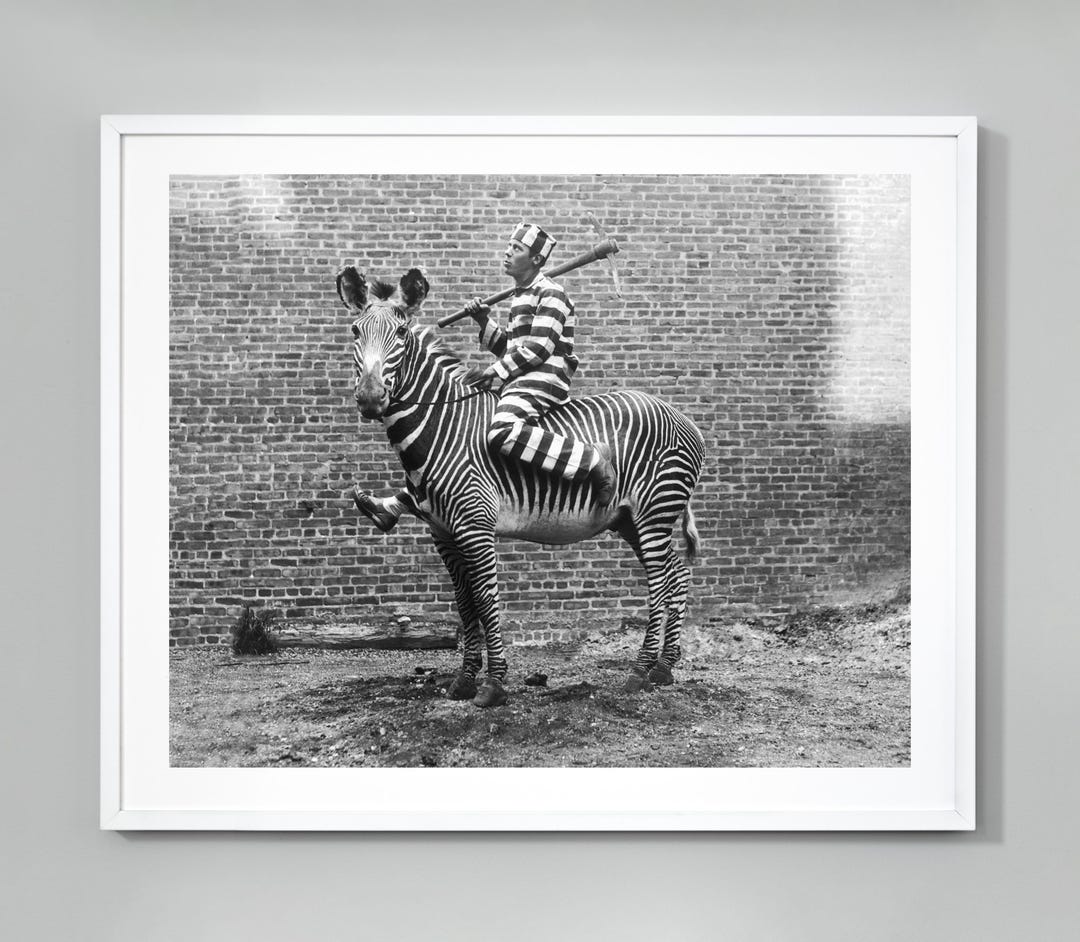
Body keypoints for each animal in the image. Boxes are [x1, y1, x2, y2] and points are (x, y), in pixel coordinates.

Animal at [341, 265, 706, 708]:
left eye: (402, 334)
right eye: (355, 331)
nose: (370, 397)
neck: (442, 425)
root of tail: (681, 416)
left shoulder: (475, 527)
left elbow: (485, 599)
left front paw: (494, 683)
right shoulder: (443, 533)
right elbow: (465, 605)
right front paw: (463, 681)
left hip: (654, 512)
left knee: (660, 581)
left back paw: (639, 672)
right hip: (631, 520)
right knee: (677, 575)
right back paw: (664, 667)